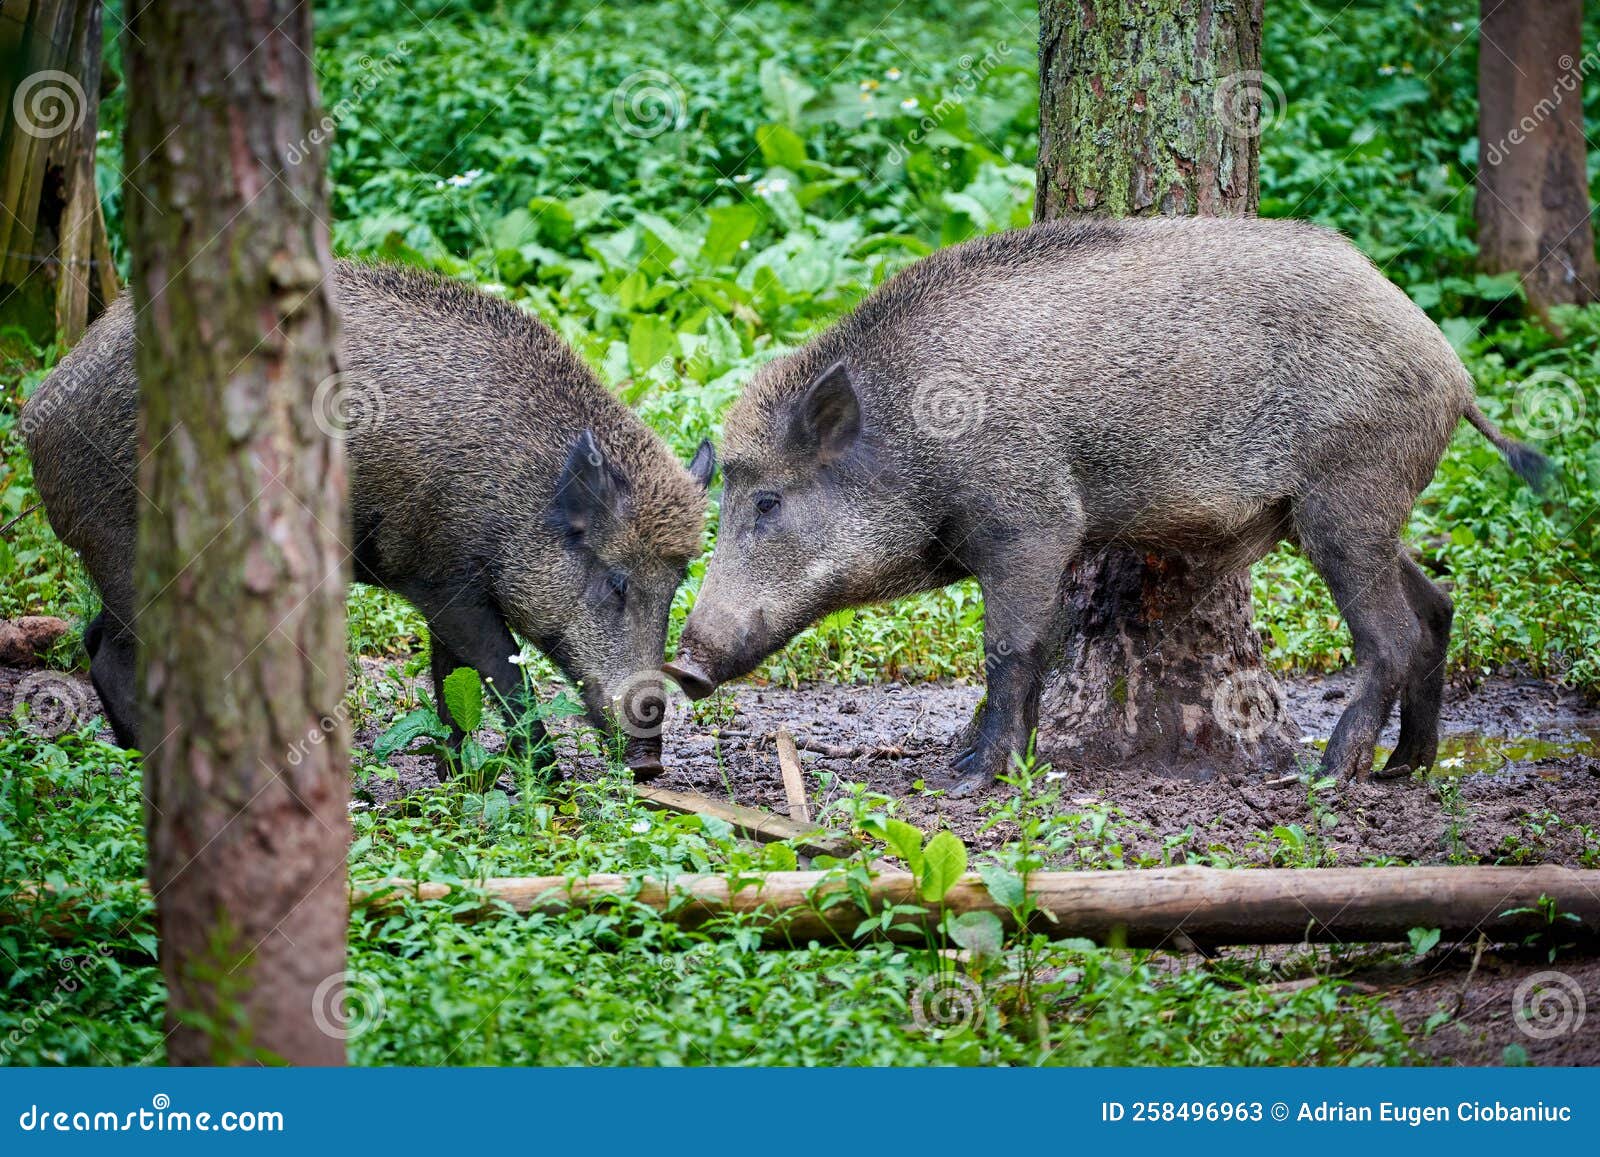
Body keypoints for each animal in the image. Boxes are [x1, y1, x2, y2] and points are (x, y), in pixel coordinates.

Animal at [24, 260, 714, 779]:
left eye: (676, 585)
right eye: (615, 582)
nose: (650, 760)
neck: (518, 489)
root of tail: (40, 410)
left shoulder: (447, 595)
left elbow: (453, 685)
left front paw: (459, 778)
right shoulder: (447, 582)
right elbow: (503, 681)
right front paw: (546, 779)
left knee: (93, 639)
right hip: (126, 551)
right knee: (111, 659)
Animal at [664, 217, 1548, 791]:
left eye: (767, 500)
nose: (683, 664)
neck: (912, 438)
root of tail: (1452, 367)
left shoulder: (1032, 521)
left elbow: (1011, 648)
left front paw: (967, 783)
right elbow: (1033, 651)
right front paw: (978, 764)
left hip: (1347, 501)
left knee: (1391, 636)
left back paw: (1325, 776)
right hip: (1351, 514)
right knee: (1437, 605)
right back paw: (1406, 768)